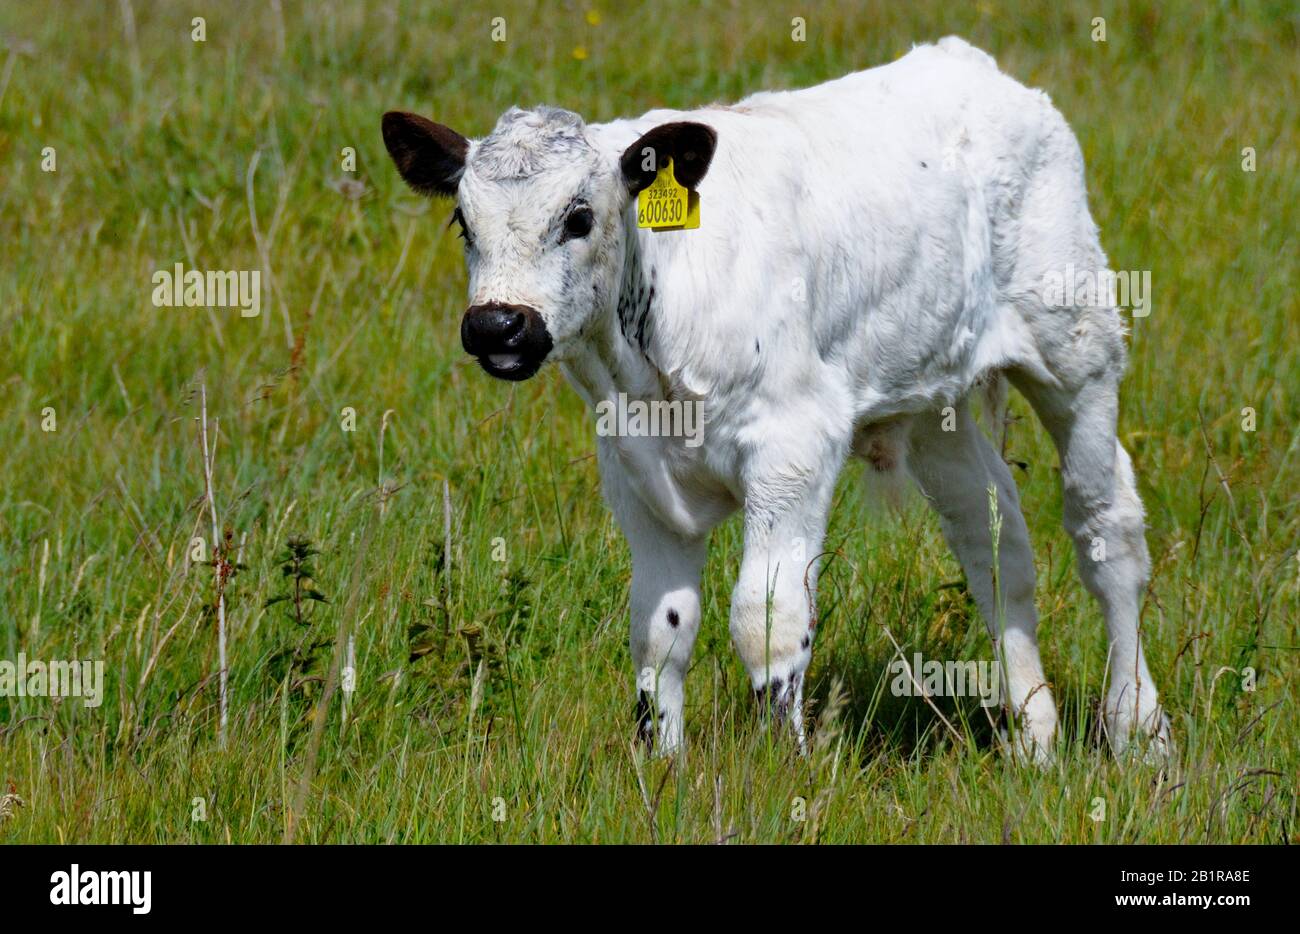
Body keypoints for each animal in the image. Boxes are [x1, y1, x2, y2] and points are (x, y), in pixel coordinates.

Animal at [382, 37, 1170, 762]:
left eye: (578, 217)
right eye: (464, 224)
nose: (497, 325)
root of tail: (972, 63)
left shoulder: (793, 446)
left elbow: (766, 622)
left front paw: (778, 766)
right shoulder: (634, 470)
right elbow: (659, 630)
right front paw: (660, 768)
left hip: (1079, 346)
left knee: (1107, 529)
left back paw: (1138, 729)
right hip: (928, 402)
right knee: (993, 537)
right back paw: (1034, 735)